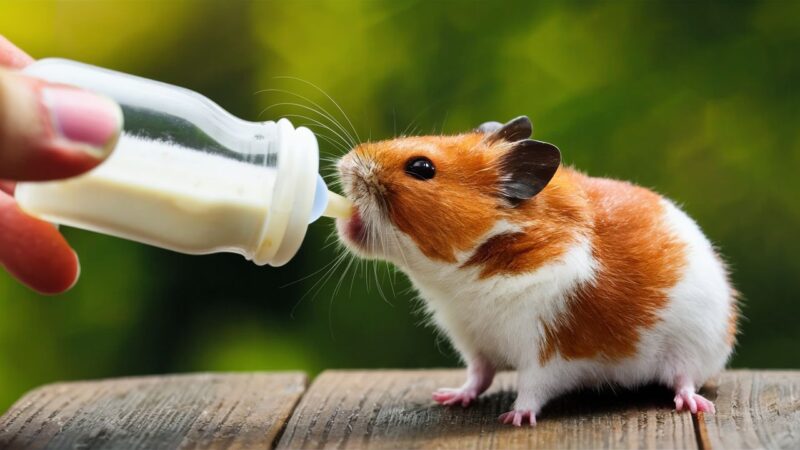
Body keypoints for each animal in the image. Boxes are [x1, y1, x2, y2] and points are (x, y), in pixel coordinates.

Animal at [336, 116, 737, 426]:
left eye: (421, 168)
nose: (343, 162)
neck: (463, 276)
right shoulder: (472, 339)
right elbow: (477, 375)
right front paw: (449, 396)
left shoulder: (546, 348)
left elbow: (532, 388)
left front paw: (514, 419)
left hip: (692, 345)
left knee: (685, 379)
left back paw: (693, 404)